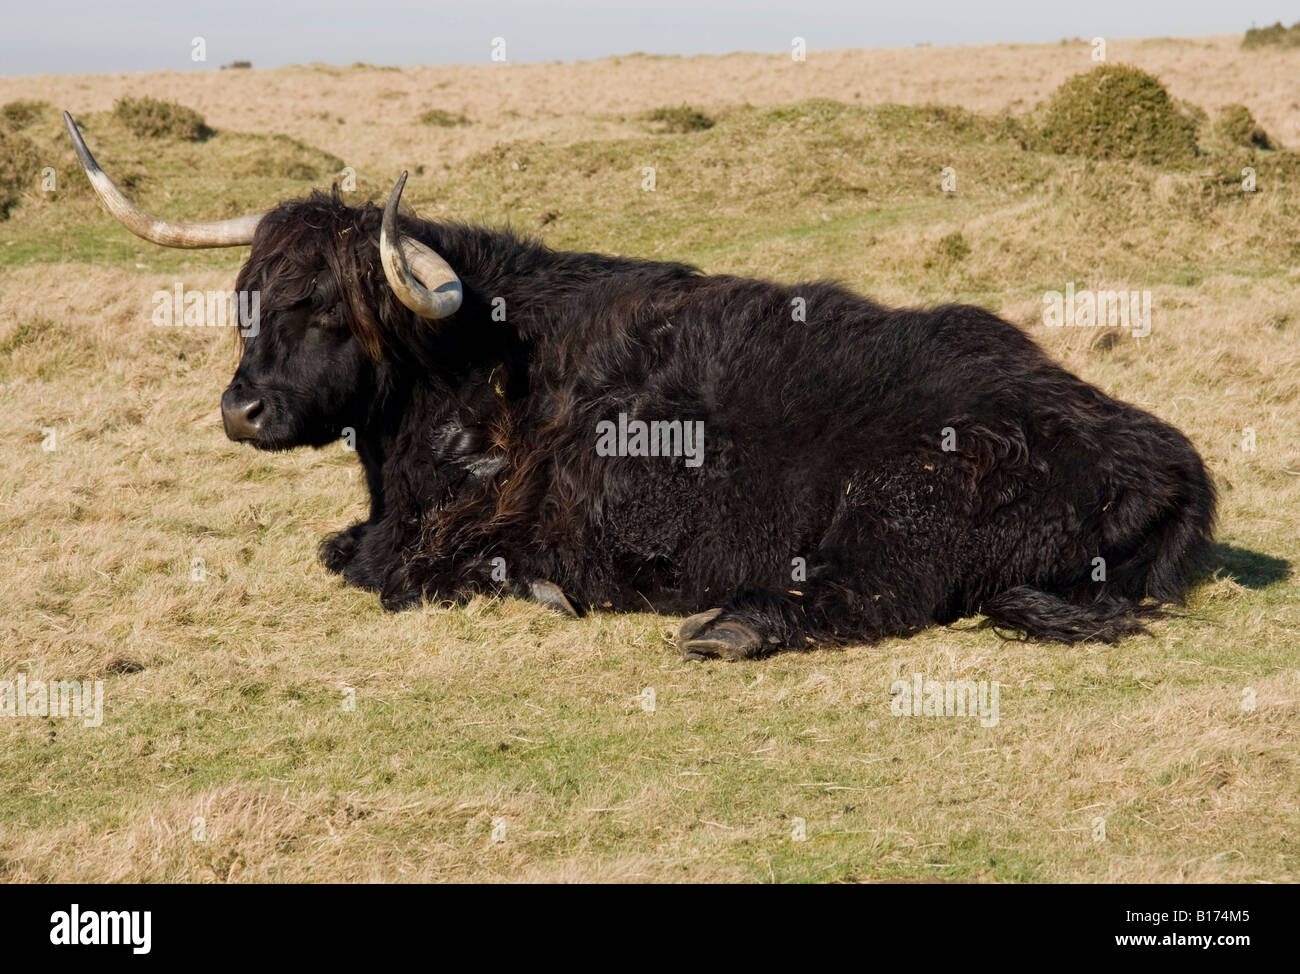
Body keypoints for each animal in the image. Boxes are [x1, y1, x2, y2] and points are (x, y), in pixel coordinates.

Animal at [64, 111, 1216, 660]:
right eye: (250, 299)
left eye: (329, 309)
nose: (241, 410)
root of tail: (1166, 457)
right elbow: (342, 551)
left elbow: (394, 570)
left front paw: (523, 585)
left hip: (905, 503)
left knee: (865, 595)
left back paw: (727, 627)